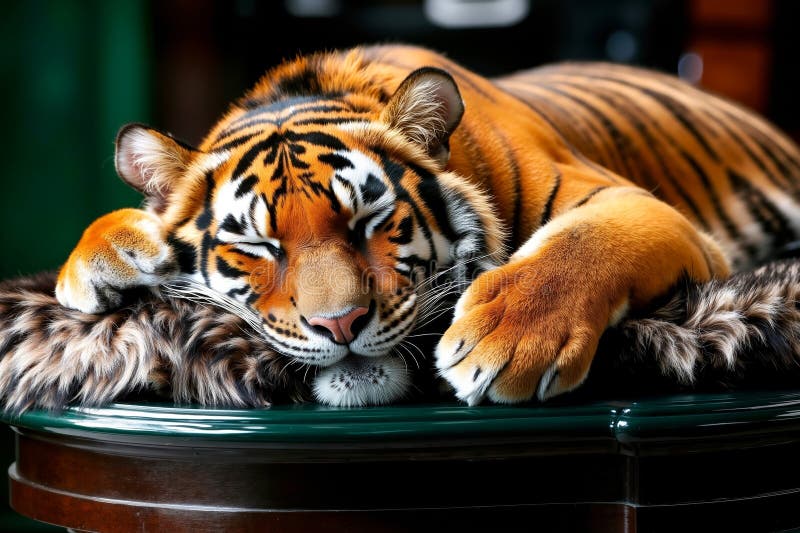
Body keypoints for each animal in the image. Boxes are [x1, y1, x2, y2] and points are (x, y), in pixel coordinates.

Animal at [53, 44, 800, 407]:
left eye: (369, 221)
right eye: (259, 246)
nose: (340, 325)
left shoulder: (635, 203)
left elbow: (584, 242)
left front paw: (505, 341)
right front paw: (101, 261)